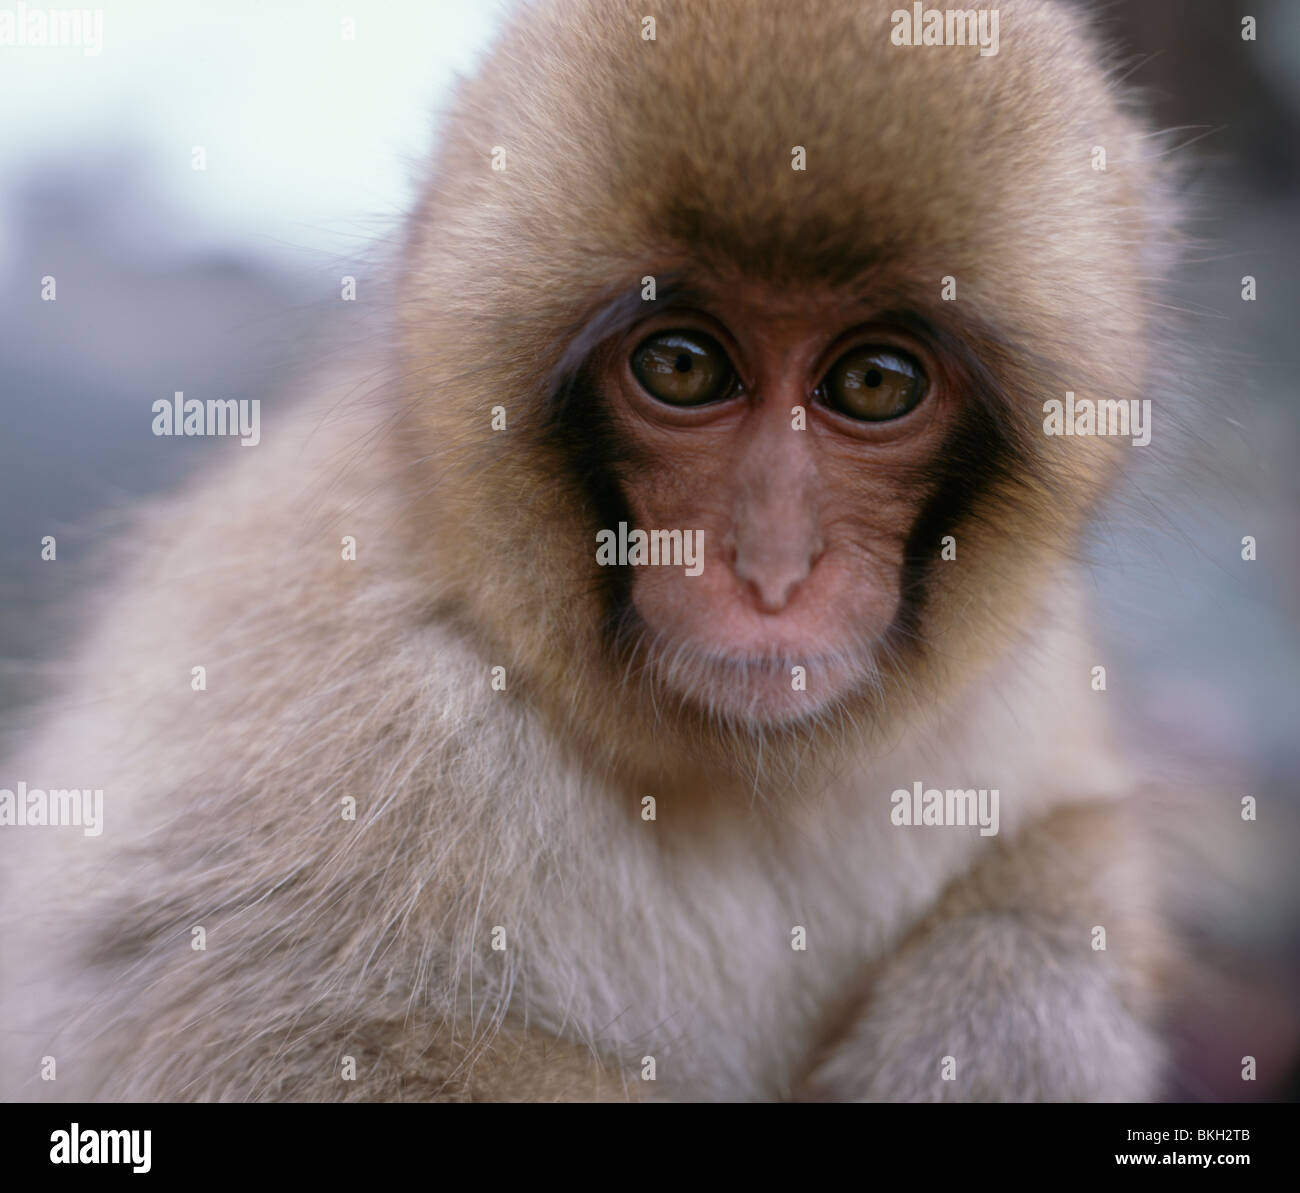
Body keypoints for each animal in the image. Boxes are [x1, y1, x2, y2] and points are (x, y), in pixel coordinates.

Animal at [0, 0, 1185, 1102]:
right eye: (682, 366)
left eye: (873, 382)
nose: (772, 571)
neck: (723, 776)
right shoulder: (346, 696)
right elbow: (254, 1032)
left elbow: (1077, 828)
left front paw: (1001, 1016)